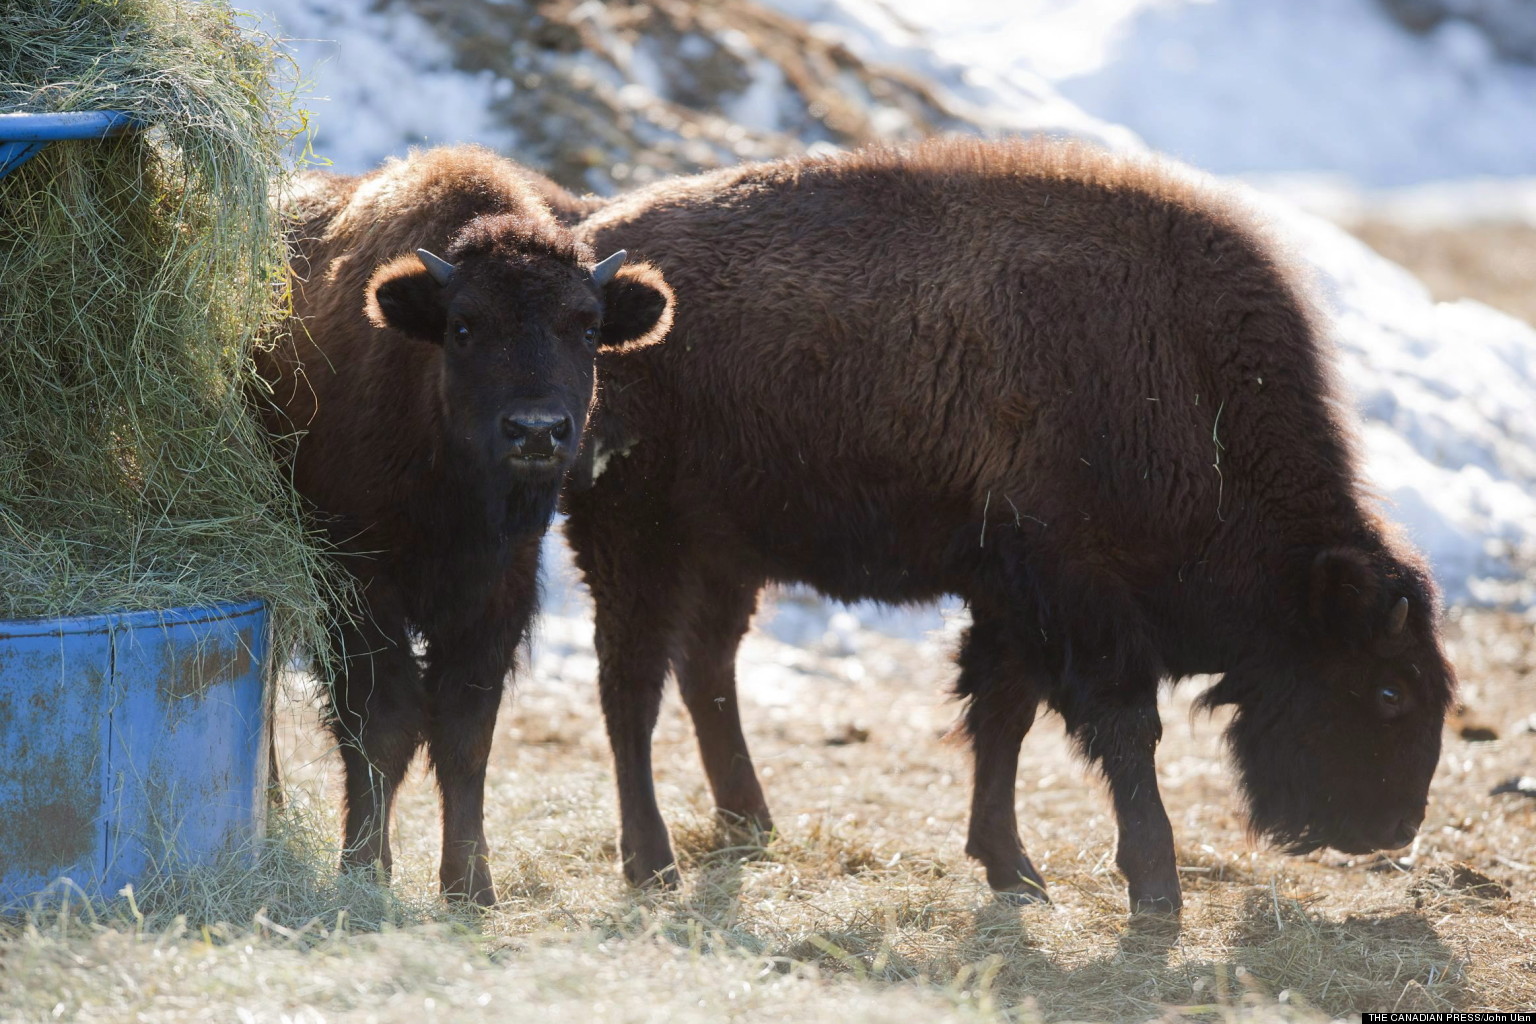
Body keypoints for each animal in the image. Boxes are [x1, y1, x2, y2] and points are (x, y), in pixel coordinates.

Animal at [564, 137, 1455, 913]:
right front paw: (1155, 890)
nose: (1394, 829)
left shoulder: (1012, 603)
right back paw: (653, 864)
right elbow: (1123, 731)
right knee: (631, 685)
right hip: (633, 538)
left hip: (725, 553)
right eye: (1389, 688)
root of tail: (592, 236)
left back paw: (751, 824)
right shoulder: (1077, 603)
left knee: (705, 667)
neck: (1187, 386)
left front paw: (1014, 871)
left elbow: (1002, 721)